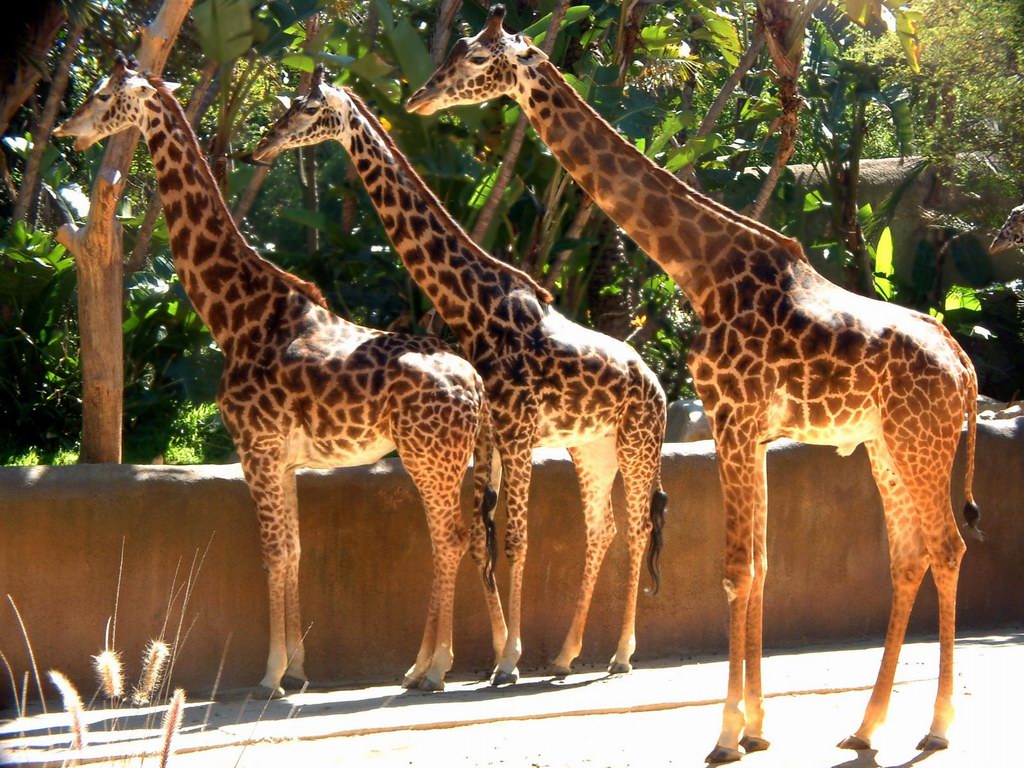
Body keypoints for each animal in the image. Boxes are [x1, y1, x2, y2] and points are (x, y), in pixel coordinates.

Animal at [54, 57, 500, 695]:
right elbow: (293, 551)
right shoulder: (284, 458)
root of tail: (477, 385)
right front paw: (299, 670)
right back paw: (424, 666)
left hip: (428, 455)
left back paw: (433, 669)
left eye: (101, 95)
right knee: (460, 538)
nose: (66, 127)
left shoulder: (255, 447)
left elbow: (272, 553)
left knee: (451, 539)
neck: (234, 315)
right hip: (447, 456)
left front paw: (270, 675)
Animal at [252, 66, 668, 686]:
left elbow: (514, 538)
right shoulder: (493, 434)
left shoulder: (517, 430)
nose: (263, 145)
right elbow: (479, 538)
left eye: (304, 110)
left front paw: (506, 661)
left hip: (638, 441)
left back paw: (620, 655)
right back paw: (566, 655)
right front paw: (481, 657)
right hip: (592, 445)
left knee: (639, 528)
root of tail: (658, 384)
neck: (474, 305)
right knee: (604, 529)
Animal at [407, 6, 983, 760]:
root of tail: (964, 365)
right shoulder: (751, 430)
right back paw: (864, 727)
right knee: (910, 555)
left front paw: (728, 734)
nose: (419, 98)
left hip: (922, 443)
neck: (703, 271)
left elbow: (735, 569)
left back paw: (937, 726)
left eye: (477, 60)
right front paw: (758, 728)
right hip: (886, 445)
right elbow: (758, 566)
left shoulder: (732, 416)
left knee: (948, 546)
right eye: (459, 51)